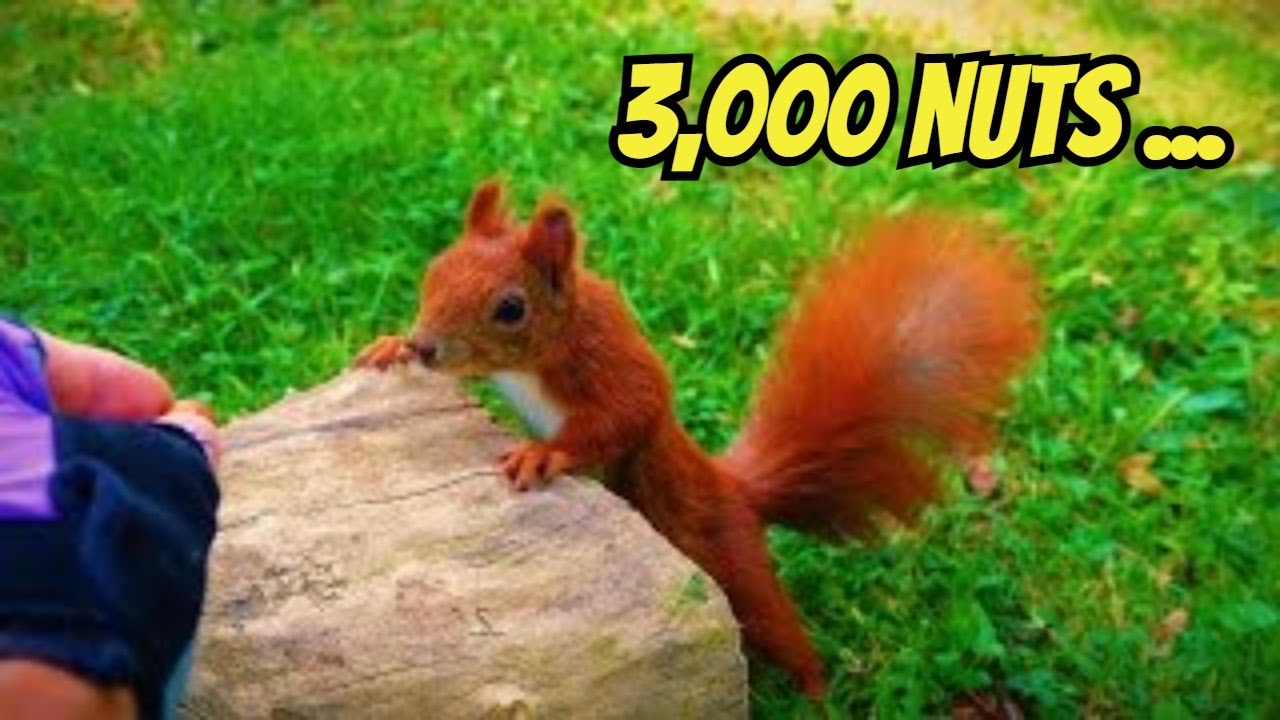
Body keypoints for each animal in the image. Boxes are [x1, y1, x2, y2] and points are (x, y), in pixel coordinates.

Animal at [355, 179, 1042, 698]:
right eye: (433, 271)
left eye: (510, 308)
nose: (427, 344)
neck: (541, 353)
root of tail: (734, 488)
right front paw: (391, 347)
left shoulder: (610, 364)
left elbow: (628, 414)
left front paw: (544, 451)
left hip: (731, 558)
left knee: (782, 630)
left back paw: (816, 695)